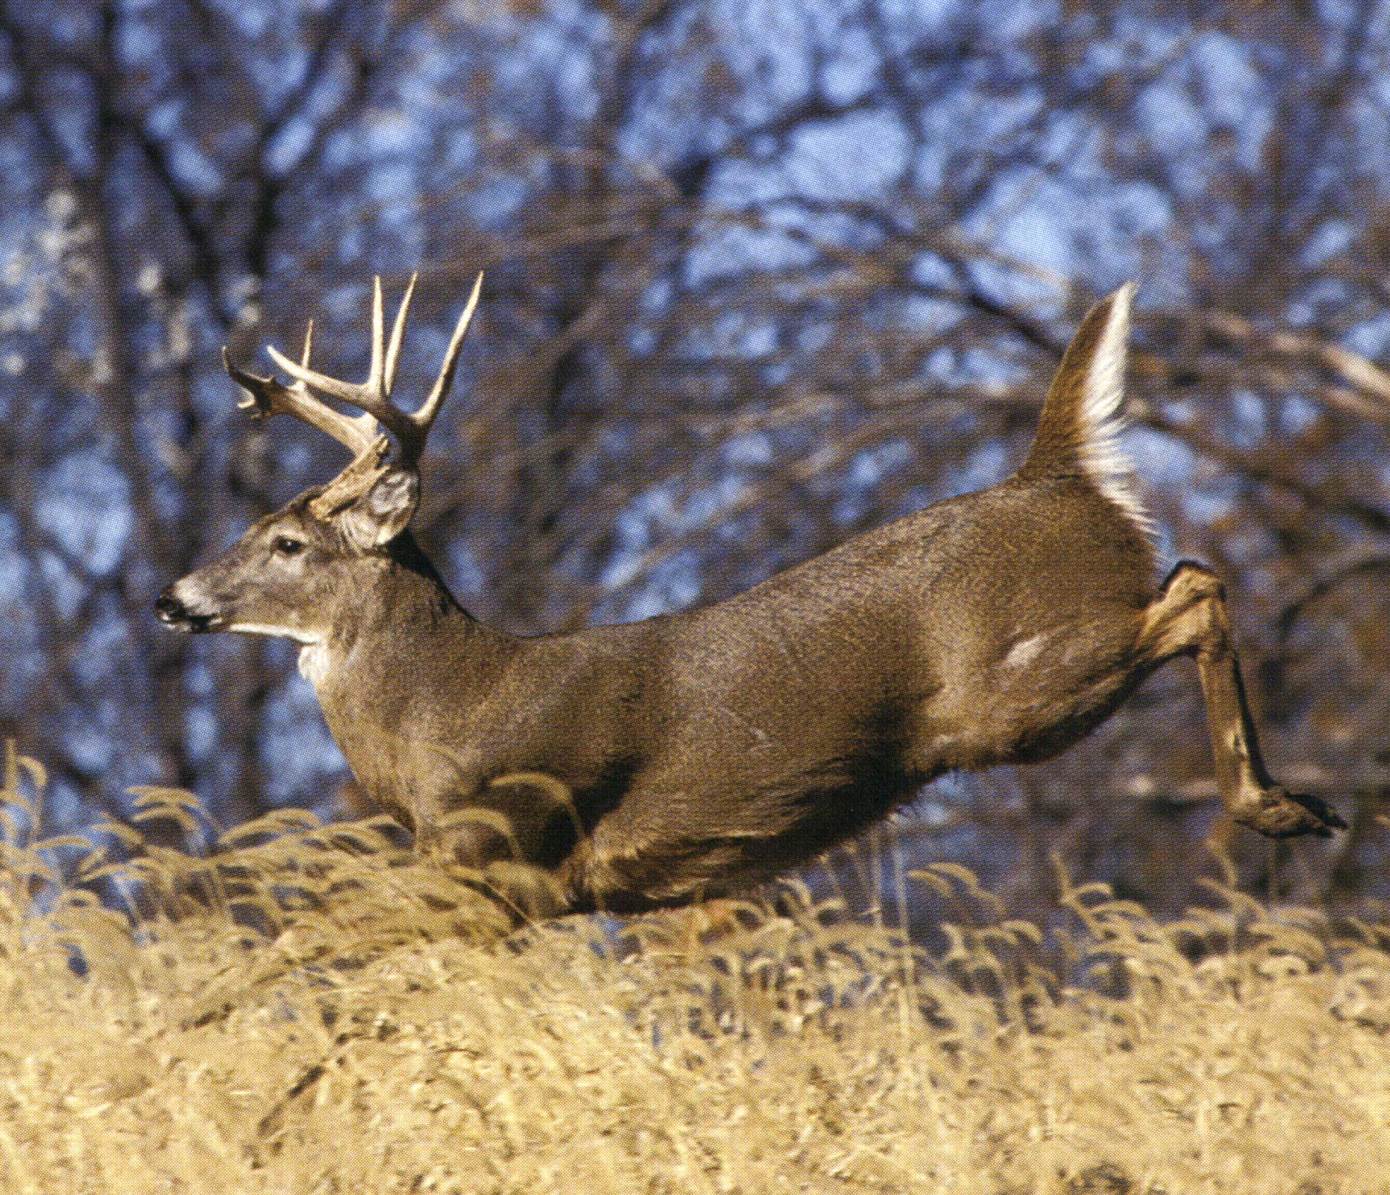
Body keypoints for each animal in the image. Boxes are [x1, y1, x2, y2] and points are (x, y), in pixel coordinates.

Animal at [155, 273, 1345, 916]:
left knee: (1194, 586)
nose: (172, 595)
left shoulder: (505, 849)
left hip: (1016, 689)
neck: (450, 708)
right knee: (1195, 579)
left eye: (289, 540)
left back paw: (1281, 804)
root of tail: (1061, 478)